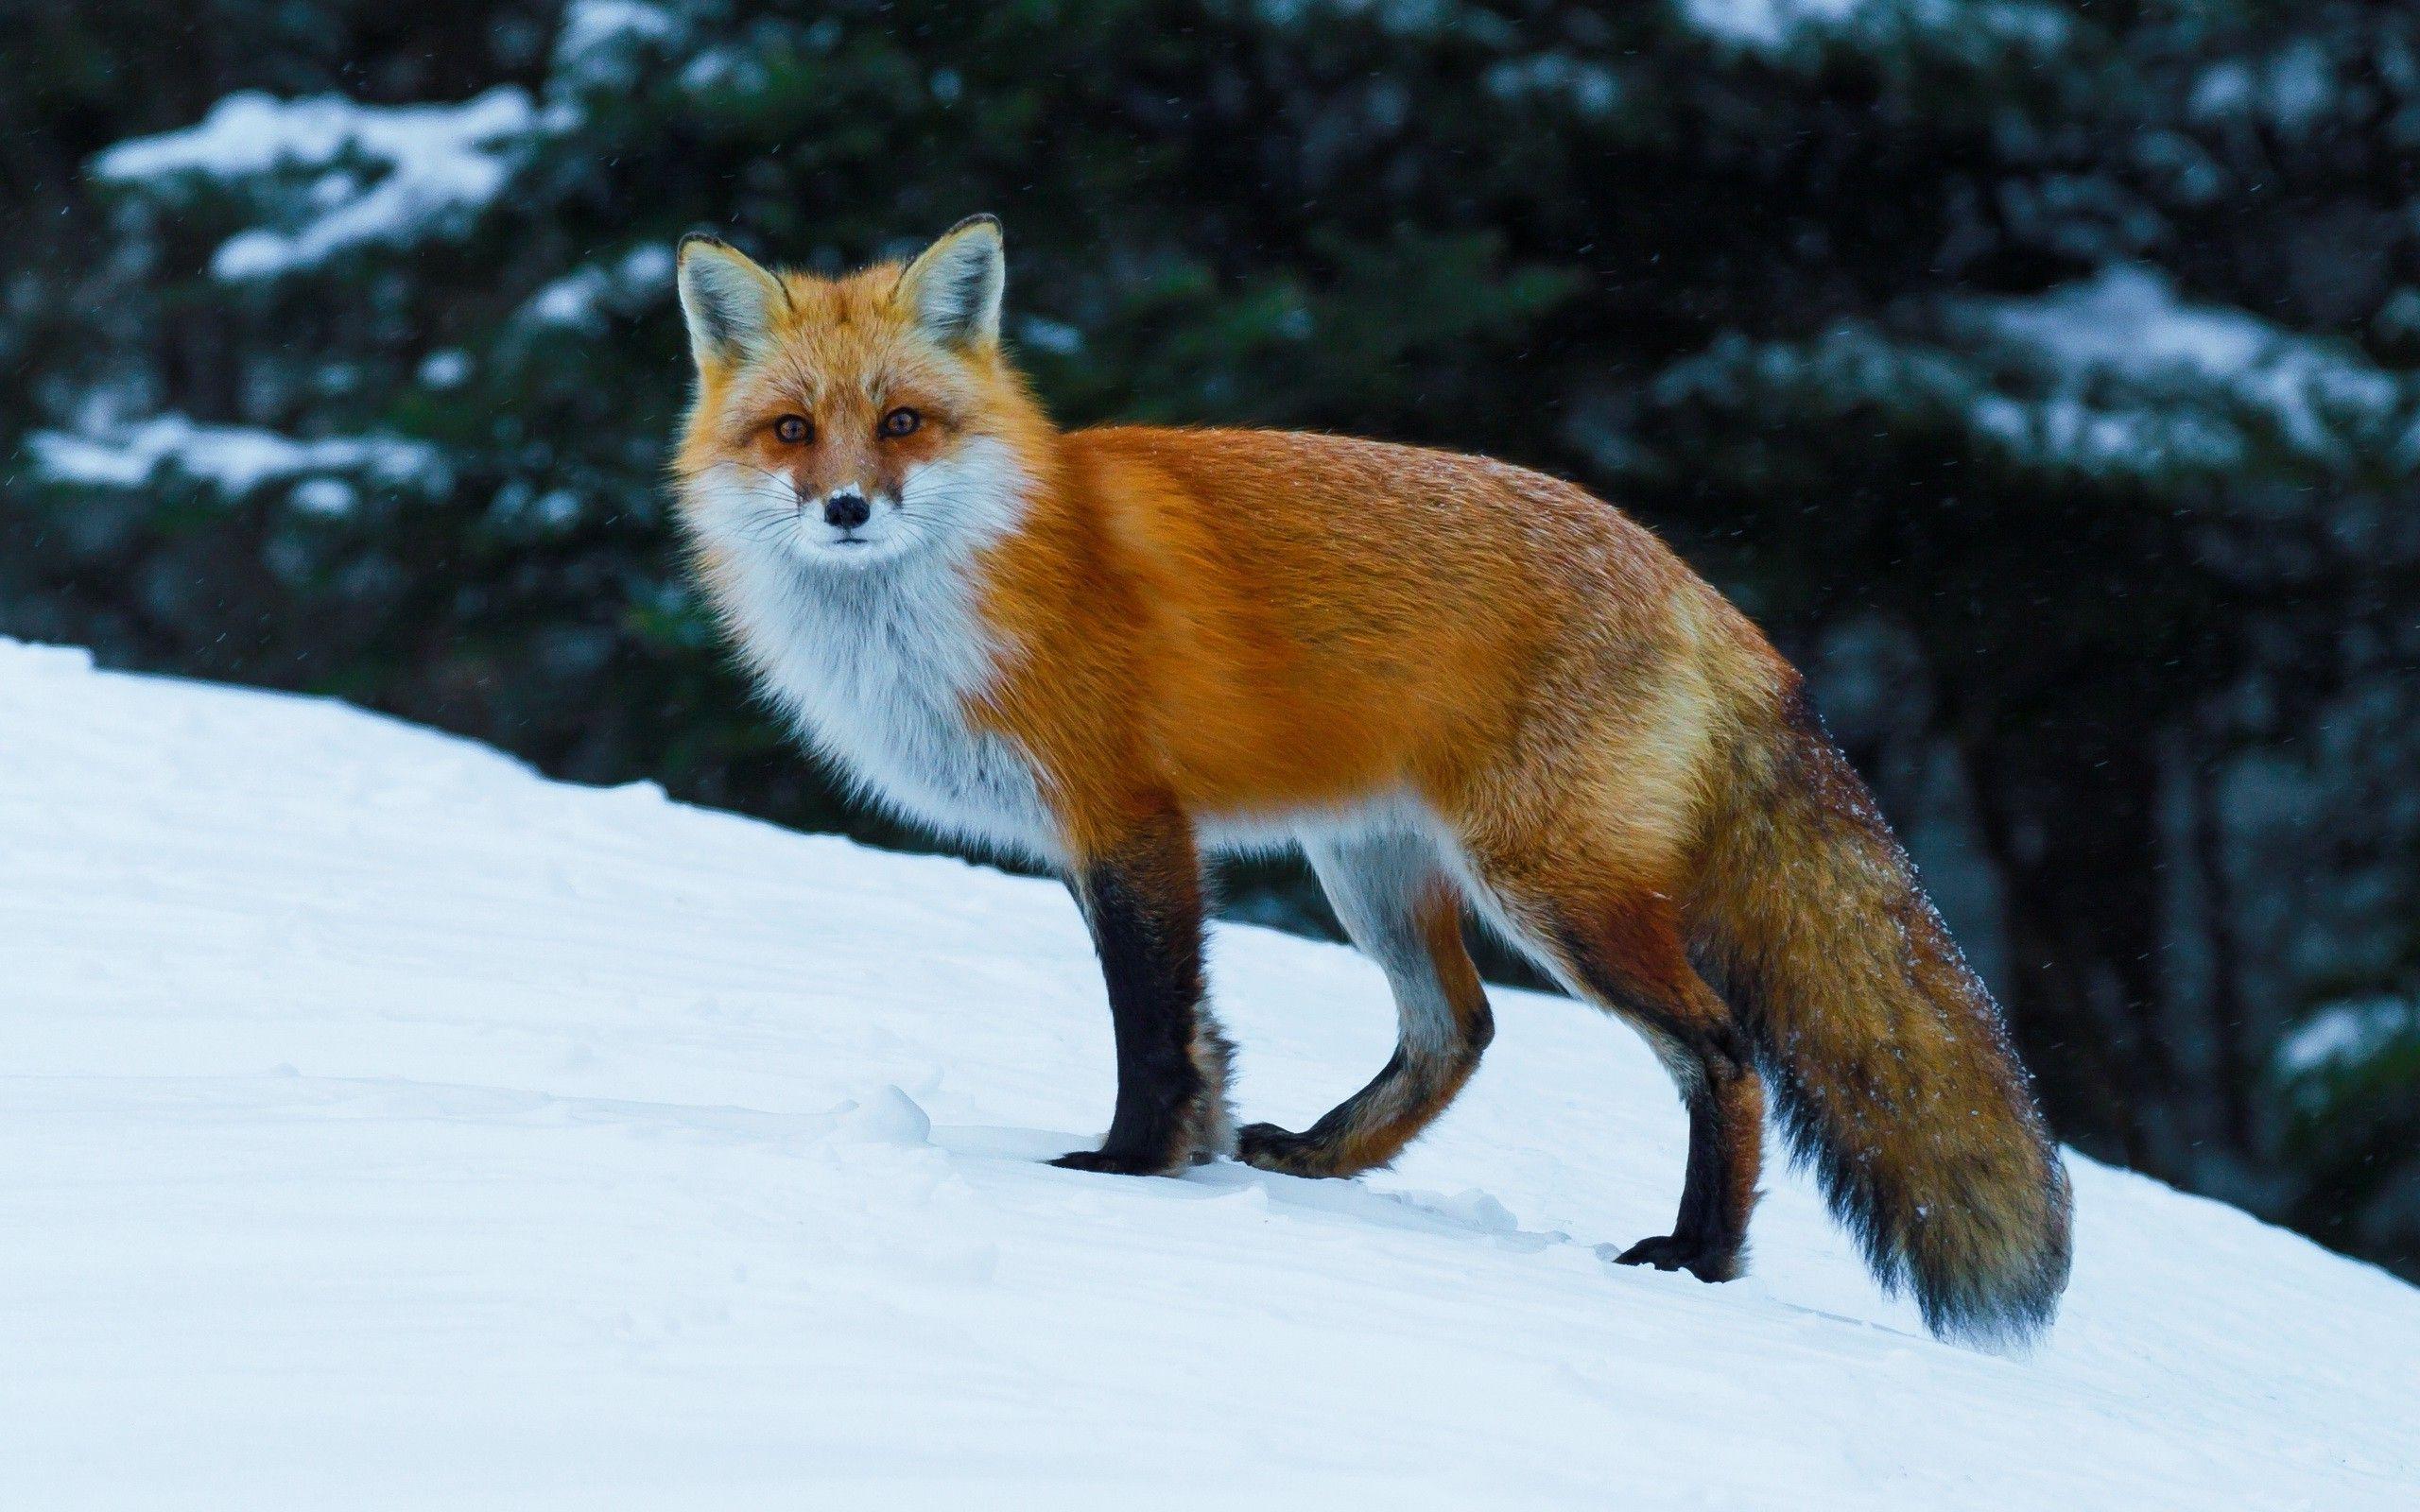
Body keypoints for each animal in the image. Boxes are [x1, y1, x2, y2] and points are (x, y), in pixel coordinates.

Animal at [667, 215, 2074, 1347]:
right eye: (792, 431)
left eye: (903, 423)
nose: (847, 508)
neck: (970, 588)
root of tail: (1703, 593)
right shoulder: (1094, 841)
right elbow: (1200, 1034)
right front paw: (1194, 1158)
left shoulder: (1131, 822)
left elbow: (1151, 1030)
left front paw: (1123, 1174)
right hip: (1374, 867)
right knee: (1460, 1029)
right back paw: (1318, 1160)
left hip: (1548, 888)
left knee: (1723, 1054)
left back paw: (1697, 1258)